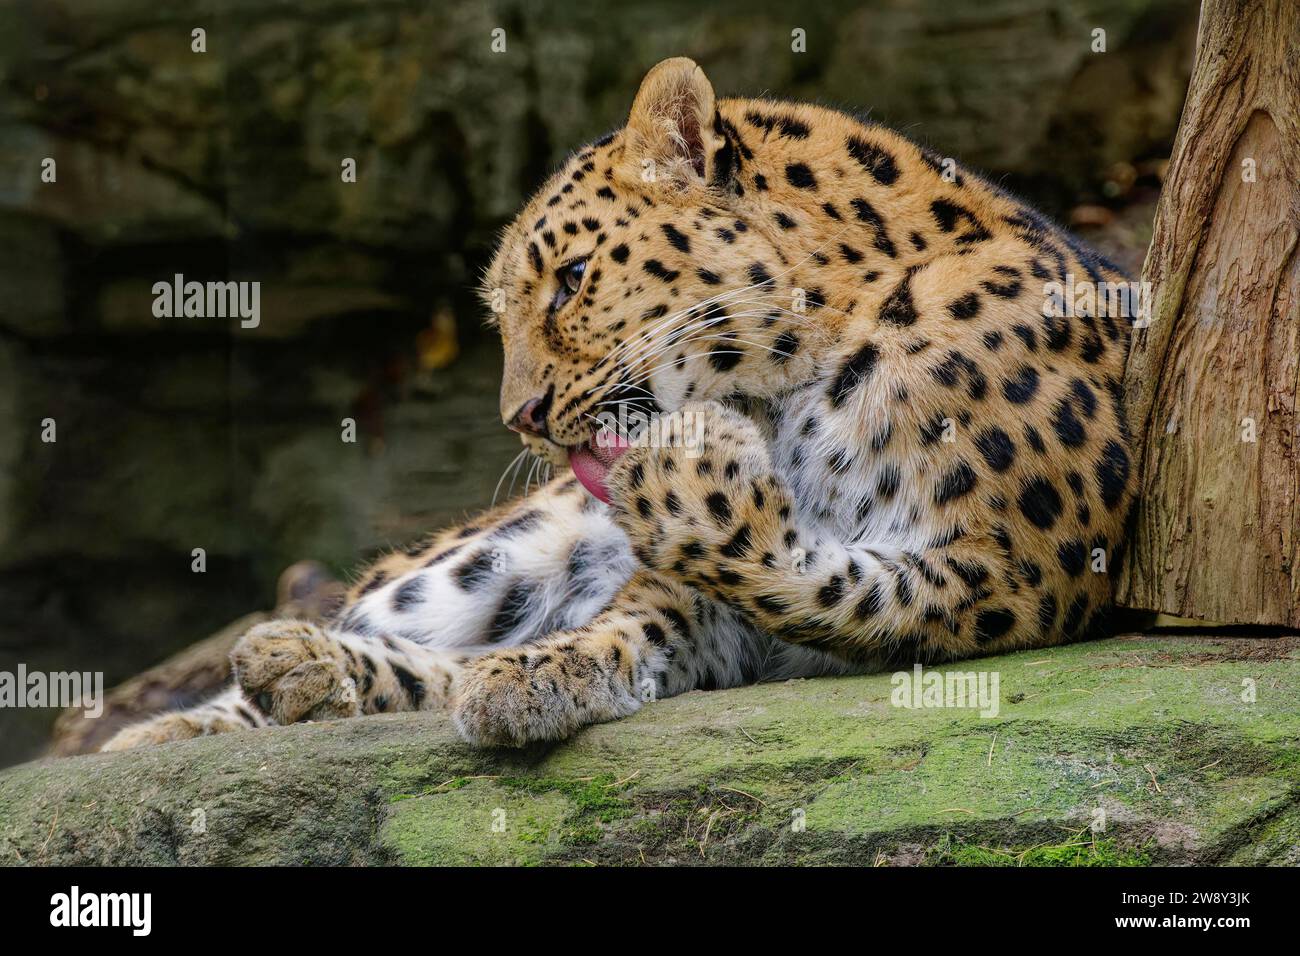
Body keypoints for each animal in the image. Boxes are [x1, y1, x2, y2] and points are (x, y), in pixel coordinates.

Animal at [102, 57, 1135, 752]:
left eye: (570, 280)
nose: (518, 417)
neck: (794, 384)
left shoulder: (1016, 573)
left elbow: (832, 588)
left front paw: (690, 477)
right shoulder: (694, 605)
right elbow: (631, 622)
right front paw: (539, 672)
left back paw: (300, 677)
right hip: (484, 558)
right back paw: (247, 687)